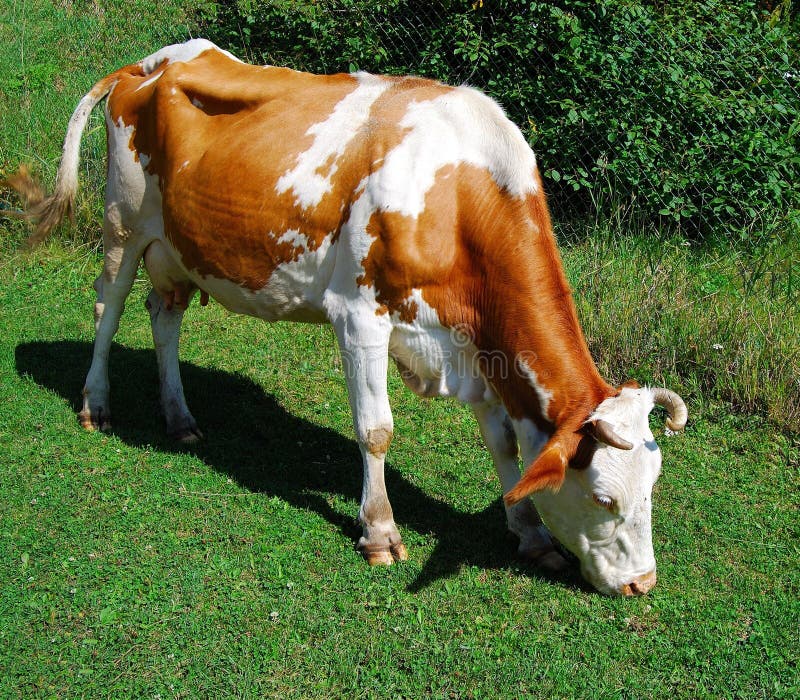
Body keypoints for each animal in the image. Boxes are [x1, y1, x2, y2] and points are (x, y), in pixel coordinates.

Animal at [4, 39, 687, 596]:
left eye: (655, 487)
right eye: (603, 497)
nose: (642, 584)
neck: (458, 195)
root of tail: (151, 62)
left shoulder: (474, 341)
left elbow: (503, 442)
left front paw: (530, 533)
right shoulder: (360, 316)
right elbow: (376, 429)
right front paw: (380, 533)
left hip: (177, 246)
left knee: (164, 316)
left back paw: (180, 418)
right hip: (122, 222)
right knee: (107, 306)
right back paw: (96, 404)